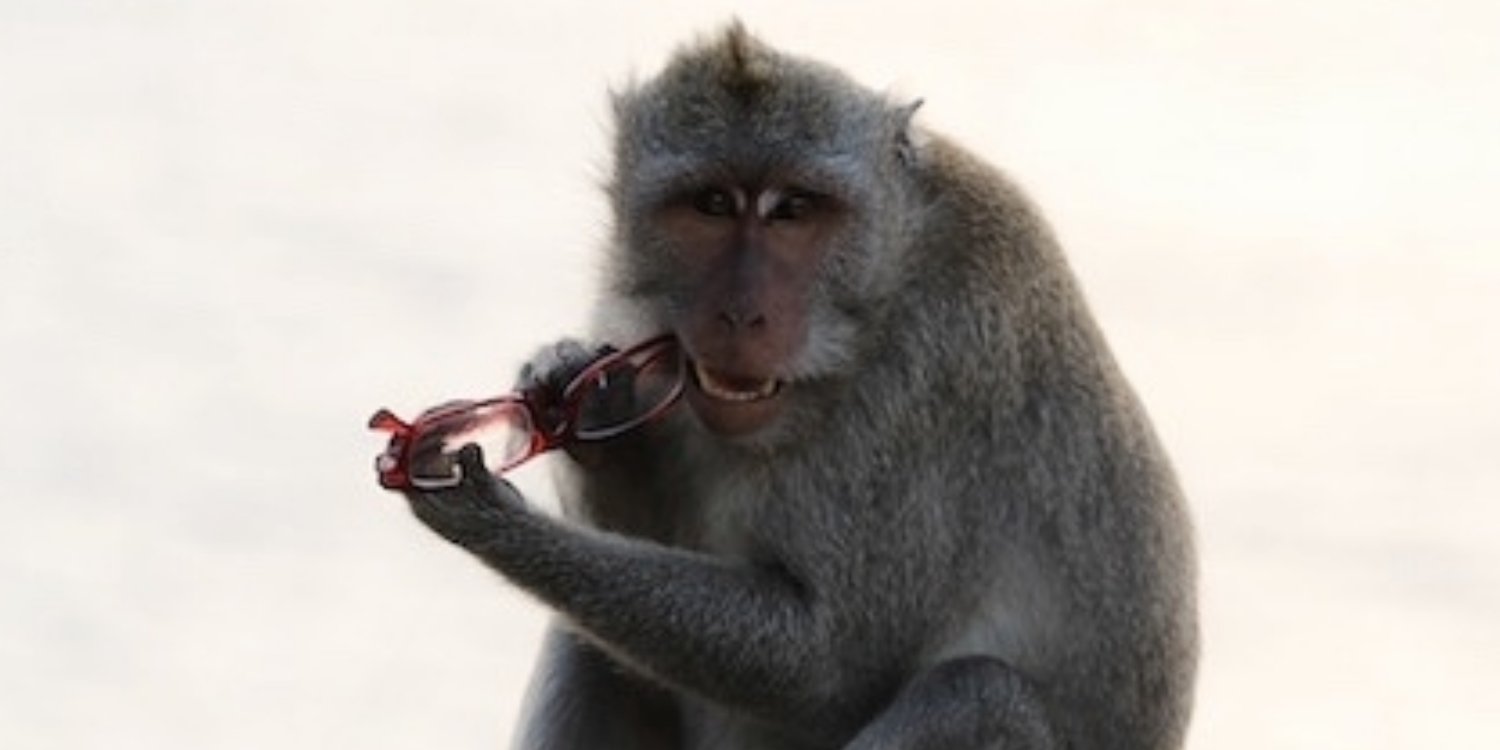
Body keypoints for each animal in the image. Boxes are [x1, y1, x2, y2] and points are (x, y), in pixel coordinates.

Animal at [394, 22, 1197, 750]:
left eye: (794, 211)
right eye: (712, 205)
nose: (741, 313)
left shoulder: (936, 370)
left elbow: (830, 663)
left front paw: (487, 514)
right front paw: (584, 394)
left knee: (979, 697)